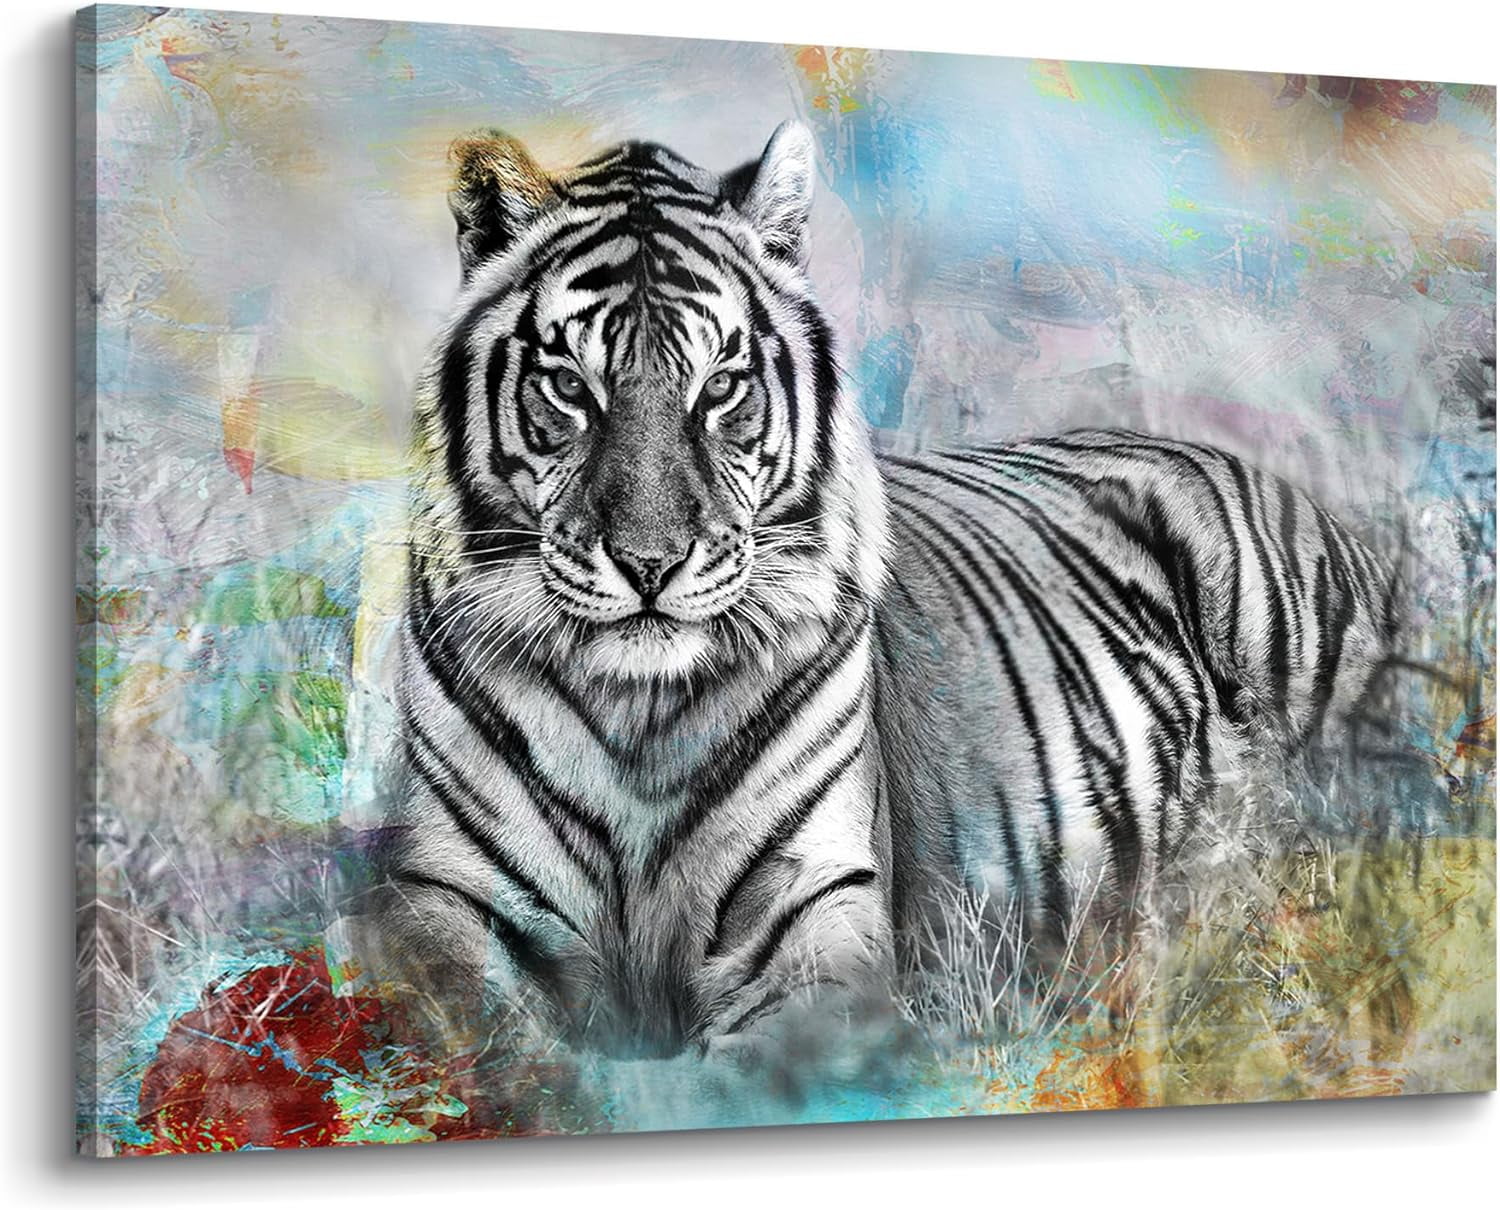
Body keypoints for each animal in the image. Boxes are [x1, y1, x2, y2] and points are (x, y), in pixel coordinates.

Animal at [365, 120, 1398, 1063]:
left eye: (721, 386)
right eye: (571, 388)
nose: (650, 564)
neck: (636, 717)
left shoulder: (814, 906)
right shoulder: (446, 903)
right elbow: (491, 1046)